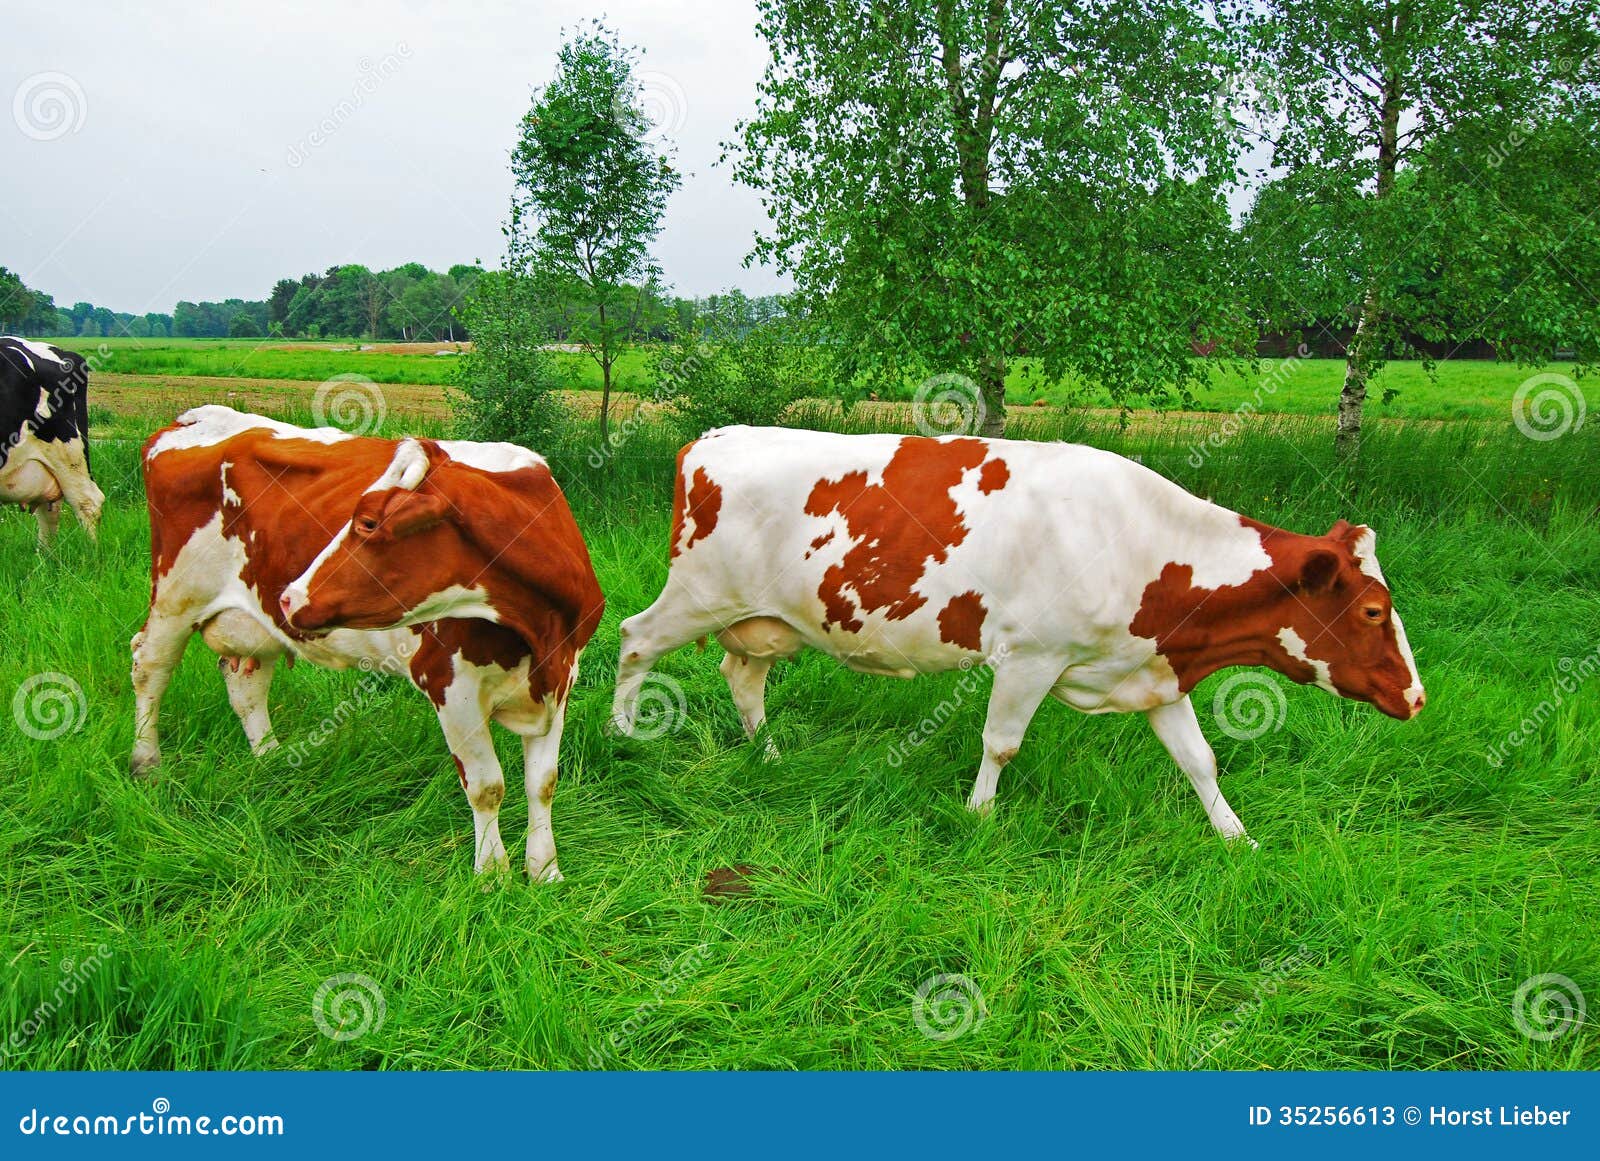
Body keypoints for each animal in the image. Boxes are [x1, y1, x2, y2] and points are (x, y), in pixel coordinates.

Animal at [132, 405, 604, 881]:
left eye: (368, 523)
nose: (290, 596)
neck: (541, 629)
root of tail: (198, 416)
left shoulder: (563, 676)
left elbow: (542, 783)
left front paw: (545, 872)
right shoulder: (449, 682)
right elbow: (487, 786)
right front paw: (492, 876)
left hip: (254, 617)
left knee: (246, 684)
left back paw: (271, 760)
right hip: (176, 595)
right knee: (149, 666)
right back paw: (146, 763)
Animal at [613, 426, 1424, 843]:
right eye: (1373, 611)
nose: (1416, 697)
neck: (1141, 542)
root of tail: (715, 435)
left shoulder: (1158, 668)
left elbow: (1200, 761)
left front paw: (1238, 839)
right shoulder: (1031, 656)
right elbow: (1000, 743)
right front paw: (979, 817)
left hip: (767, 622)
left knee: (741, 678)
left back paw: (768, 755)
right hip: (698, 594)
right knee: (633, 638)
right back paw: (623, 736)